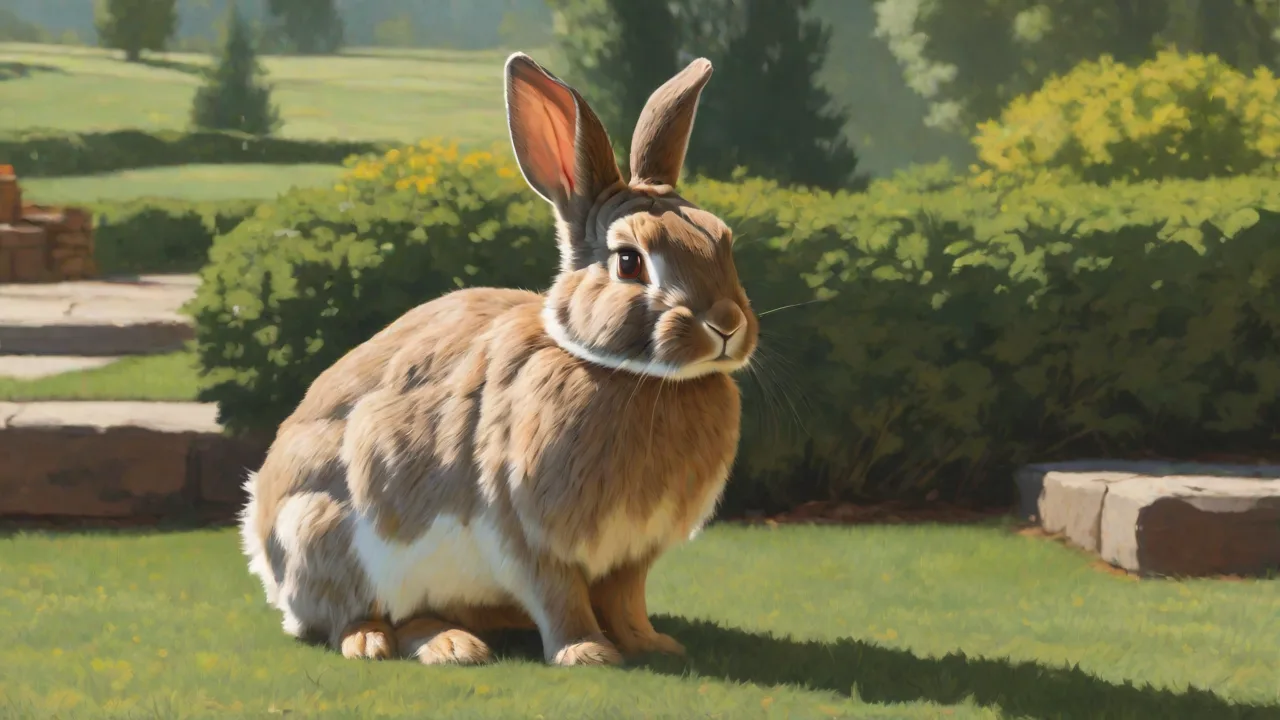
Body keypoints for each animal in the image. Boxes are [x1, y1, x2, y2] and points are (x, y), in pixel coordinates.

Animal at [238, 51, 759, 667]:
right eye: (629, 261)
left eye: (723, 240)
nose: (726, 324)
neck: (630, 375)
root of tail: (262, 546)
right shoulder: (524, 533)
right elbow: (558, 597)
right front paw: (588, 653)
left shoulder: (631, 555)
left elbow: (628, 599)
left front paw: (652, 645)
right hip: (327, 531)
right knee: (367, 615)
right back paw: (414, 645)